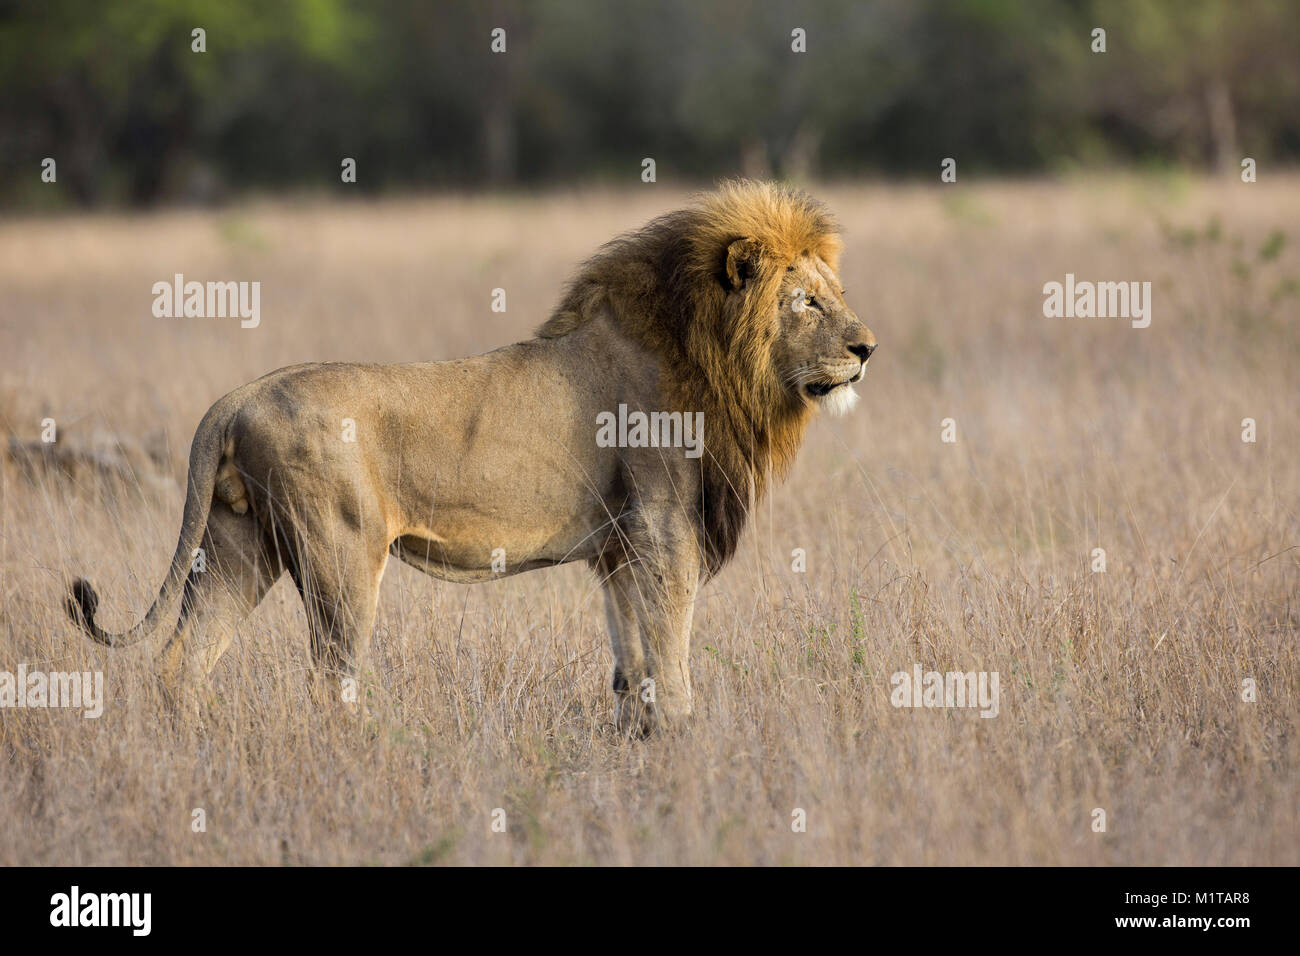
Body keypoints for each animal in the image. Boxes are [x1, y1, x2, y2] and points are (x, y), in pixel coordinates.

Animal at [67, 179, 877, 734]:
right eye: (806, 302)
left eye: (837, 292)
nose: (867, 347)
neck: (714, 359)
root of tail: (235, 399)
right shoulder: (662, 527)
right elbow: (669, 645)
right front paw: (683, 737)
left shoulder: (618, 545)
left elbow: (632, 658)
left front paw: (635, 739)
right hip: (339, 553)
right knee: (330, 676)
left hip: (239, 544)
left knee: (182, 661)